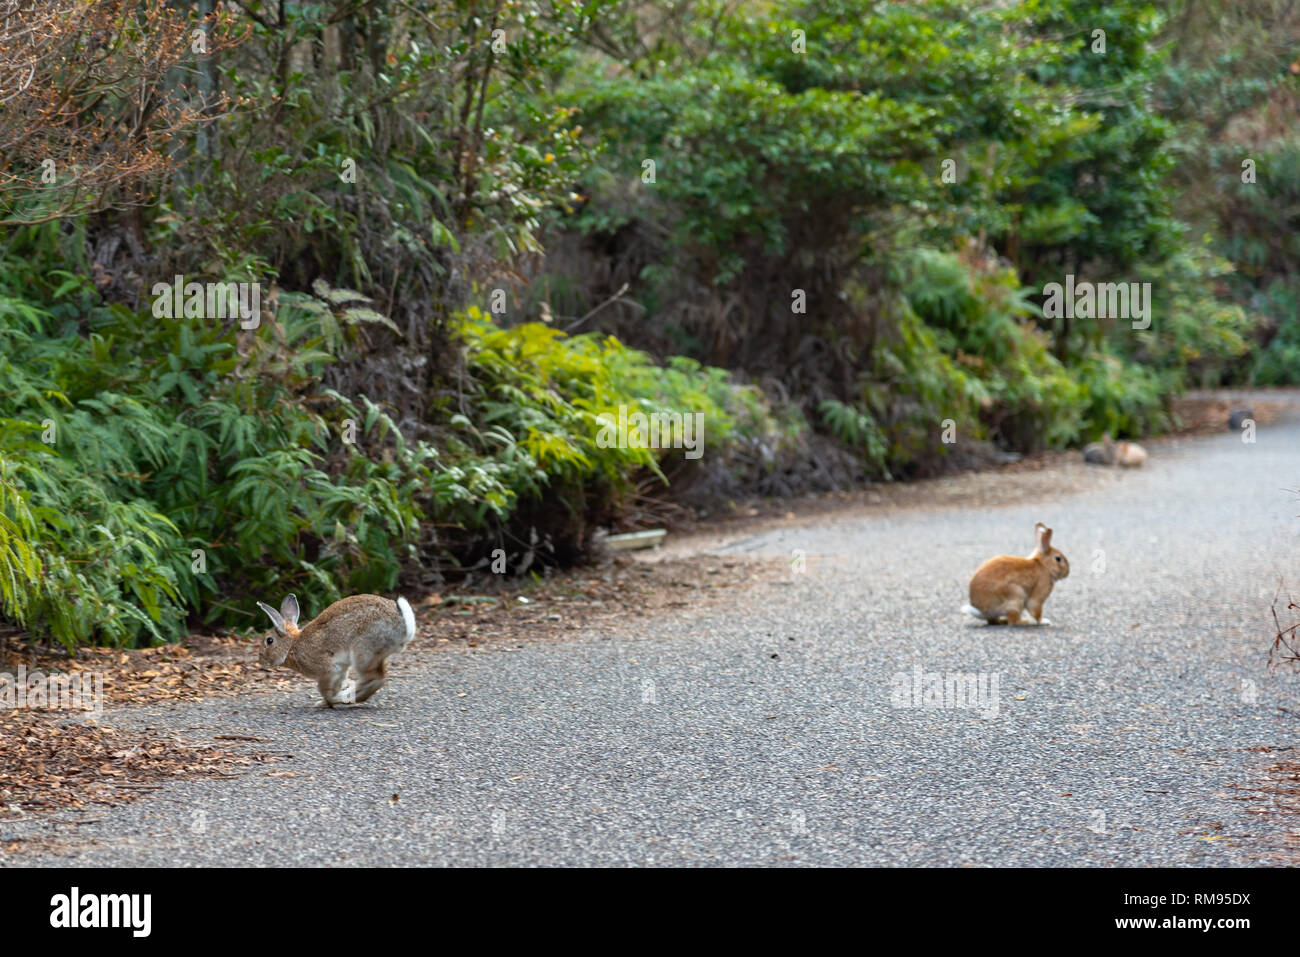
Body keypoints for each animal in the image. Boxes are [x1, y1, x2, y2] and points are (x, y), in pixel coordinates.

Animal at [256, 593, 417, 707]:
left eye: (269, 641)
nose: (260, 659)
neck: (291, 645)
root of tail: (403, 627)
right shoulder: (339, 669)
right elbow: (336, 684)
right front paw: (323, 703)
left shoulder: (326, 670)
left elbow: (324, 689)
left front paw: (324, 702)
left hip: (363, 650)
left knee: (374, 679)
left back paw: (344, 697)